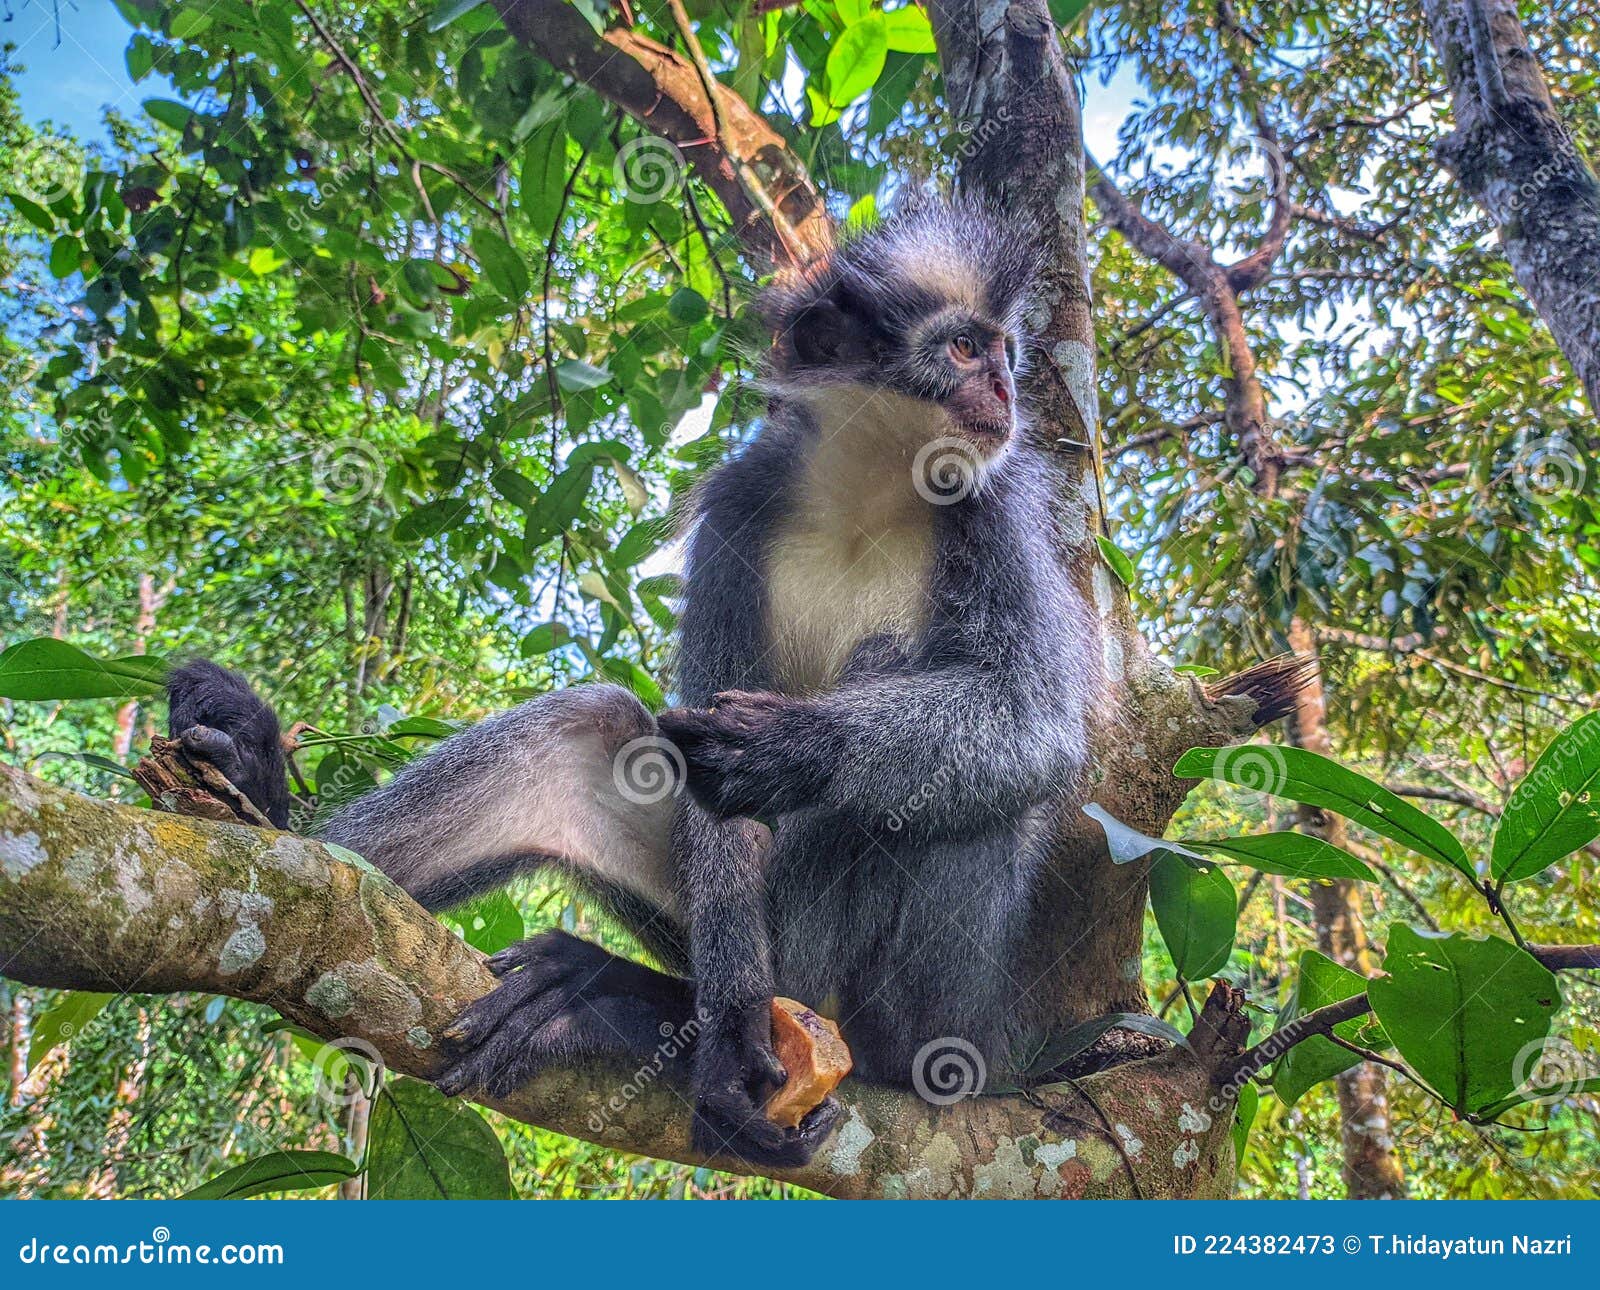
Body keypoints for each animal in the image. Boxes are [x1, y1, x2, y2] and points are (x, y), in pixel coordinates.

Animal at [167, 199, 1099, 1169]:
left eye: (1003, 354)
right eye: (965, 349)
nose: (1008, 395)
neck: (868, 490)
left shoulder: (995, 509)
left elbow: (1036, 725)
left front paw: (793, 747)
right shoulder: (739, 508)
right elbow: (709, 784)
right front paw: (727, 1046)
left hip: (911, 1000)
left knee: (962, 791)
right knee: (585, 731)